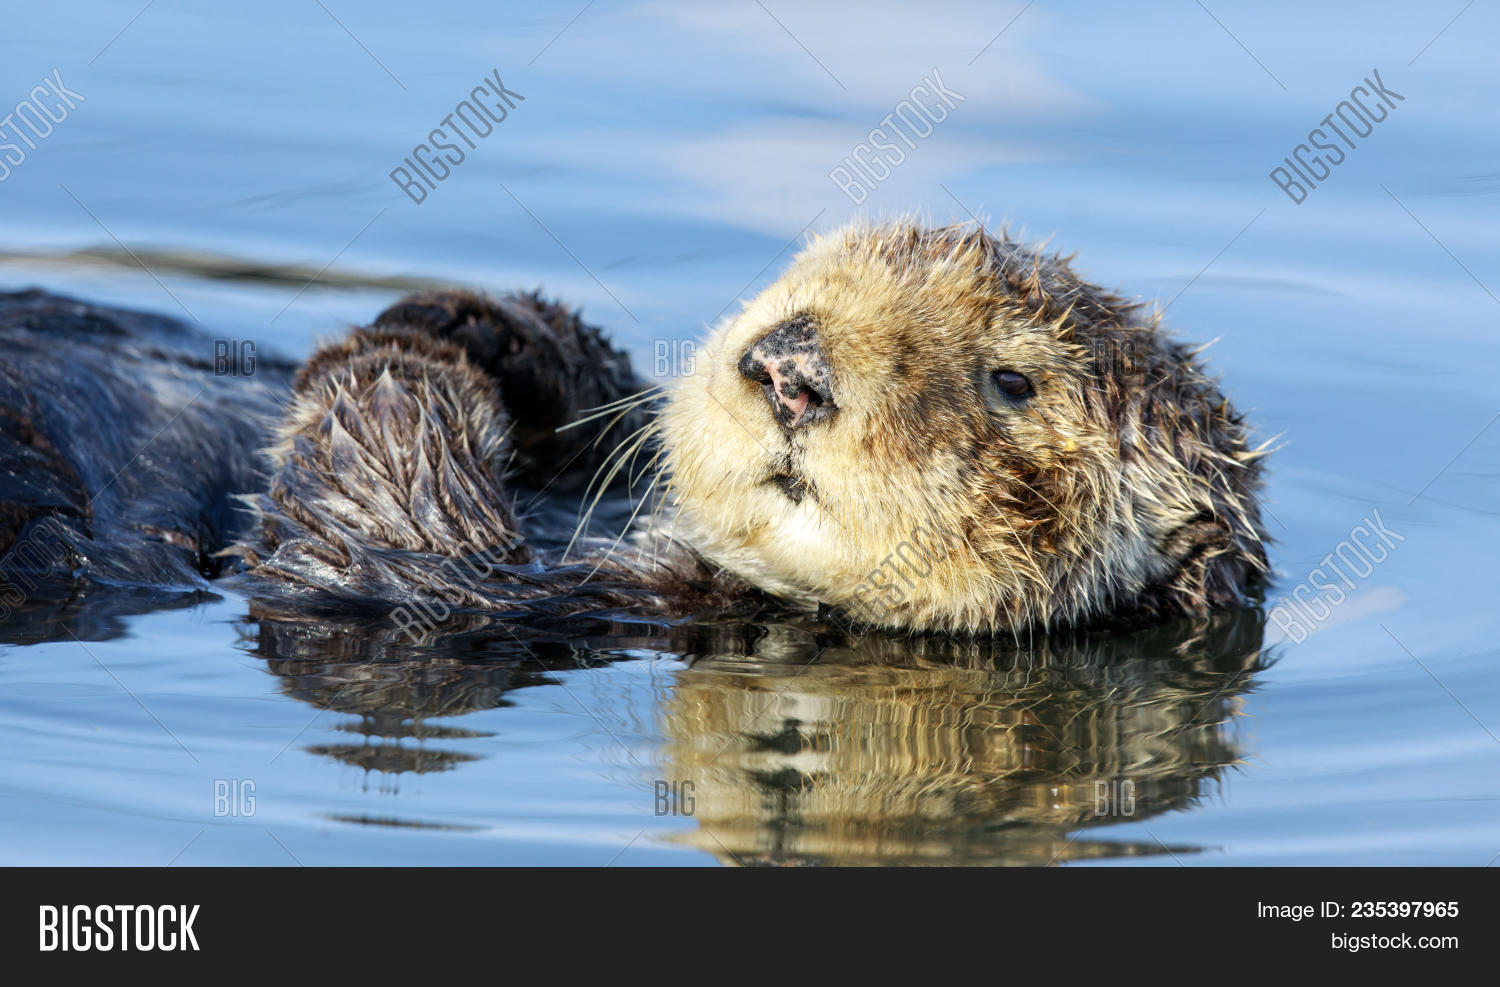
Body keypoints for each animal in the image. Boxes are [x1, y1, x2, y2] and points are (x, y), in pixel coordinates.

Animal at [0, 220, 1269, 636]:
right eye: (807, 272)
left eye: (1013, 382)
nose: (790, 367)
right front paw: (477, 323)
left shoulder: (476, 599)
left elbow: (368, 525)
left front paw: (405, 348)